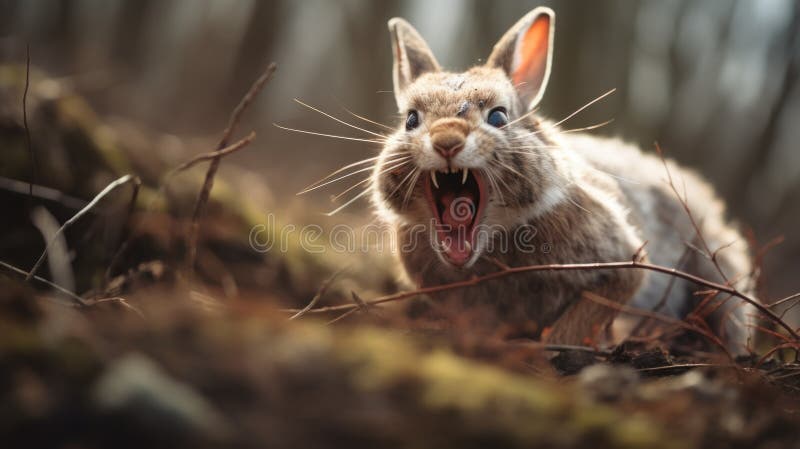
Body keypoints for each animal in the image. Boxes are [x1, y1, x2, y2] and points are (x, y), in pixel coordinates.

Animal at [370, 7, 756, 352]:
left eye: (498, 117)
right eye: (411, 120)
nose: (446, 141)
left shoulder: (623, 267)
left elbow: (580, 321)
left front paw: (550, 352)